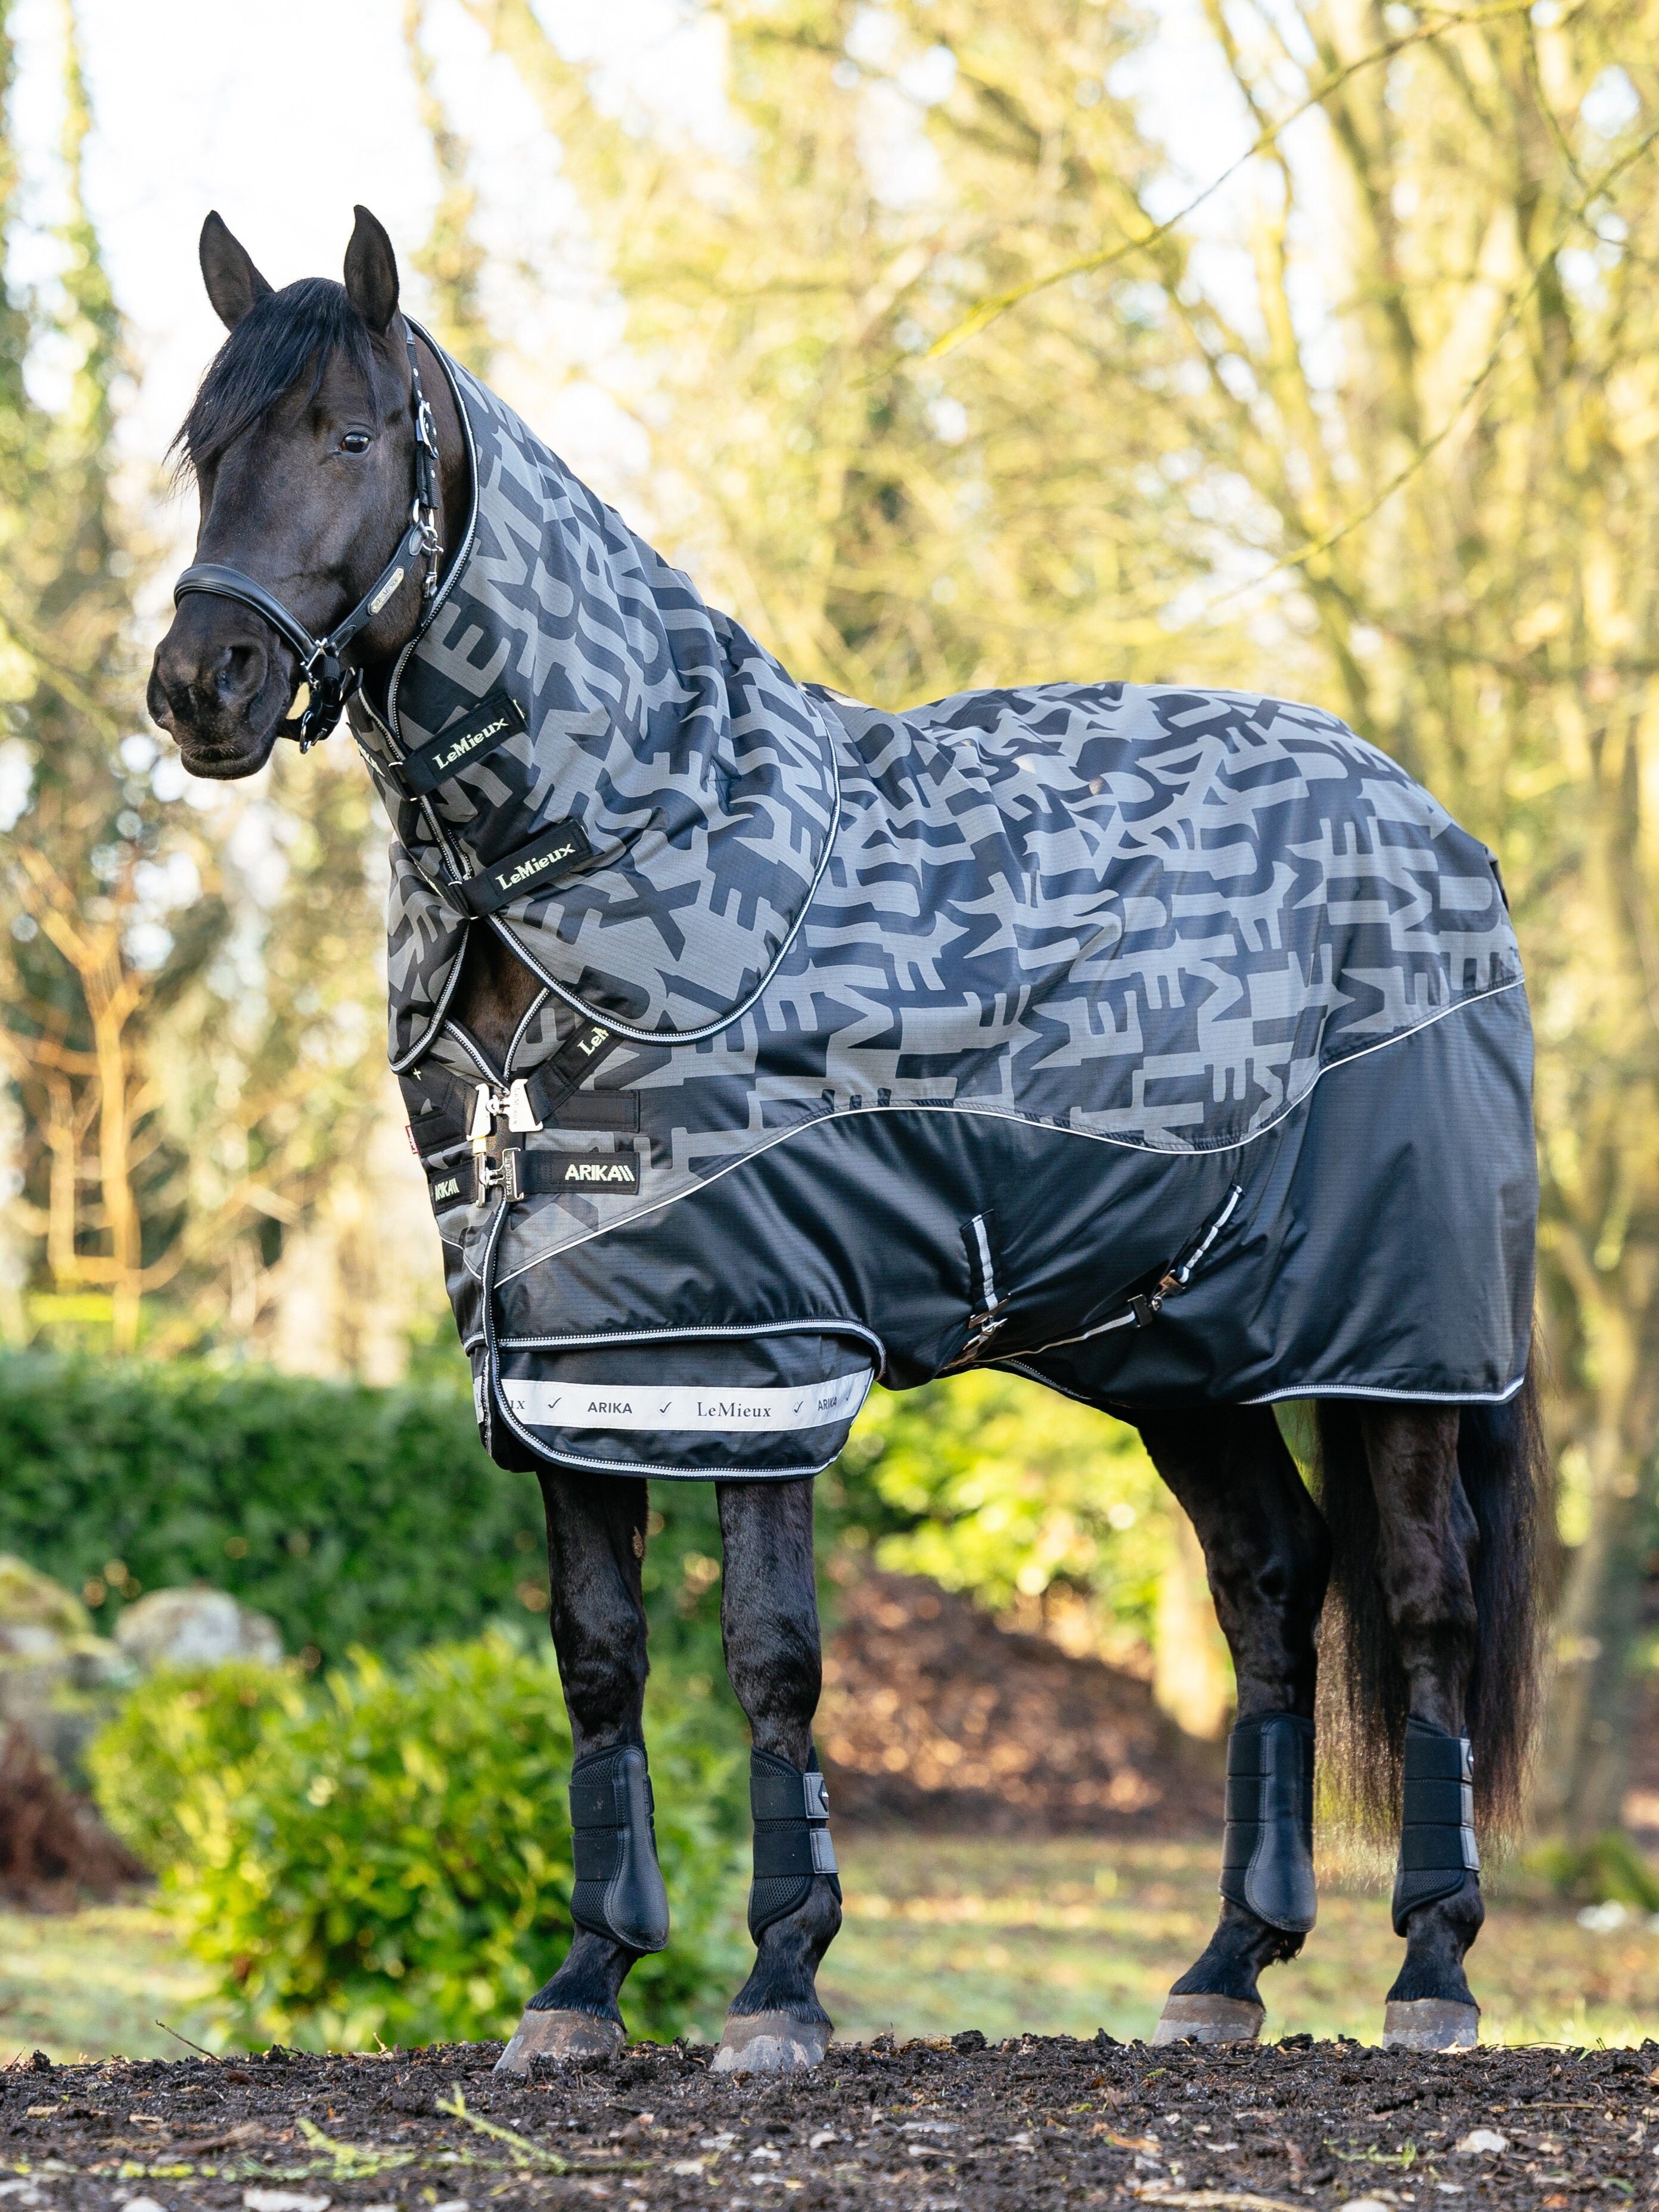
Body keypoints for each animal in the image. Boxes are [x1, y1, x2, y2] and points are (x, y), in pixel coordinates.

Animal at [149, 207, 1544, 2068]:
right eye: (205, 450)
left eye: (352, 439)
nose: (199, 687)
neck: (620, 866)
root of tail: (1435, 835)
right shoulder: (575, 1366)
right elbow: (598, 1662)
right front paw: (583, 1987)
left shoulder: (759, 1356)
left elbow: (772, 1660)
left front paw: (777, 1987)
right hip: (1177, 1346)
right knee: (1268, 1580)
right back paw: (1223, 1966)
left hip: (1399, 1332)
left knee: (1423, 1592)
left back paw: (1433, 1971)